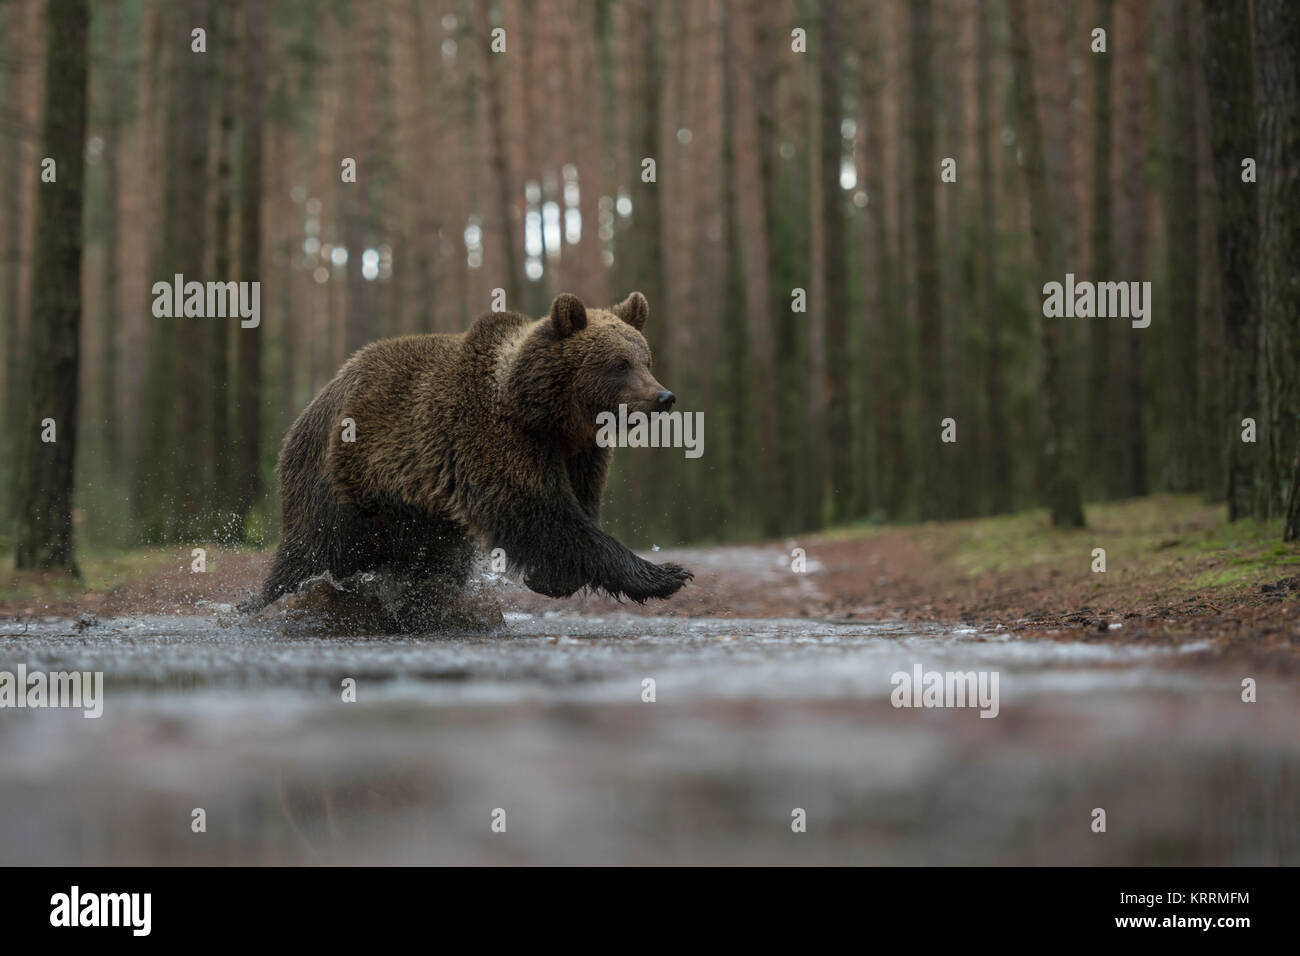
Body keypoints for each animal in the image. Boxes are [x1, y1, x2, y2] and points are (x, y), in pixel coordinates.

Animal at [253, 291, 692, 622]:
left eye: (646, 358)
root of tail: (312, 407)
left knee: (433, 561)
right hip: (340, 480)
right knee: (312, 550)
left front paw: (550, 578)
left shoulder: (582, 454)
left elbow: (576, 510)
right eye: (619, 363)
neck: (547, 415)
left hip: (416, 518)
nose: (663, 397)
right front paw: (666, 573)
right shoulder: (493, 439)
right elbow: (541, 513)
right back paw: (271, 602)